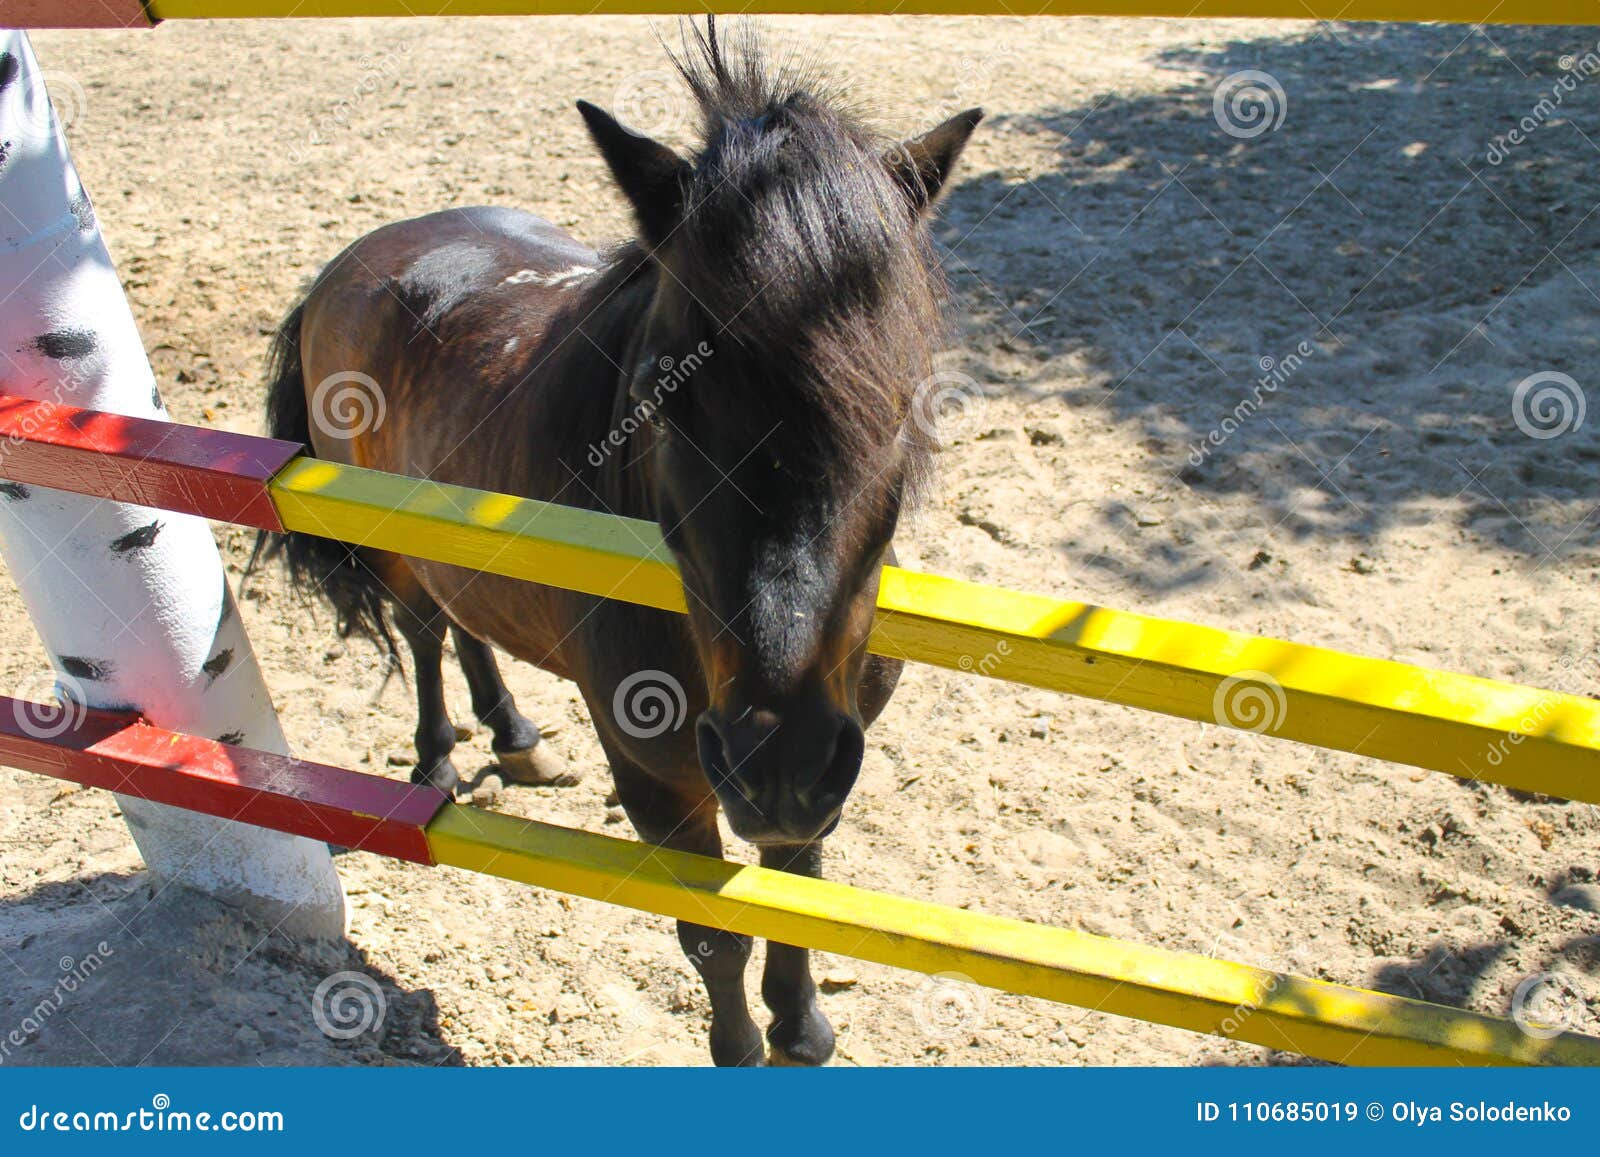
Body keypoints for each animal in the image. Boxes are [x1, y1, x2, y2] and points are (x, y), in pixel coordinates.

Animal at [258, 21, 980, 1066]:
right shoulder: (657, 779)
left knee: (468, 617)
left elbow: (796, 892)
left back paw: (516, 738)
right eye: (662, 398)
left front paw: (803, 1024)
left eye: (898, 404)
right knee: (425, 630)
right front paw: (742, 1044)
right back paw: (439, 759)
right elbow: (715, 940)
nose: (777, 753)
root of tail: (352, 260)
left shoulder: (826, 770)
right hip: (391, 545)